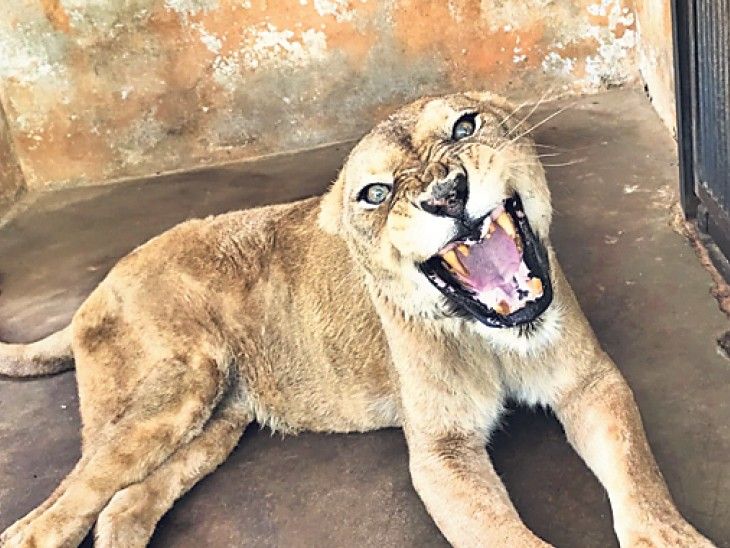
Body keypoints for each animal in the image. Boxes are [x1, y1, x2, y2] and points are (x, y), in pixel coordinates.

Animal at [0, 92, 715, 548]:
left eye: (464, 127)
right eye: (375, 193)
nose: (447, 194)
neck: (492, 339)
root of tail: (104, 281)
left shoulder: (591, 383)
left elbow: (639, 476)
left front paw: (673, 537)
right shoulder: (439, 451)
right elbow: (503, 534)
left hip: (215, 424)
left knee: (123, 504)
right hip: (176, 389)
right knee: (57, 510)